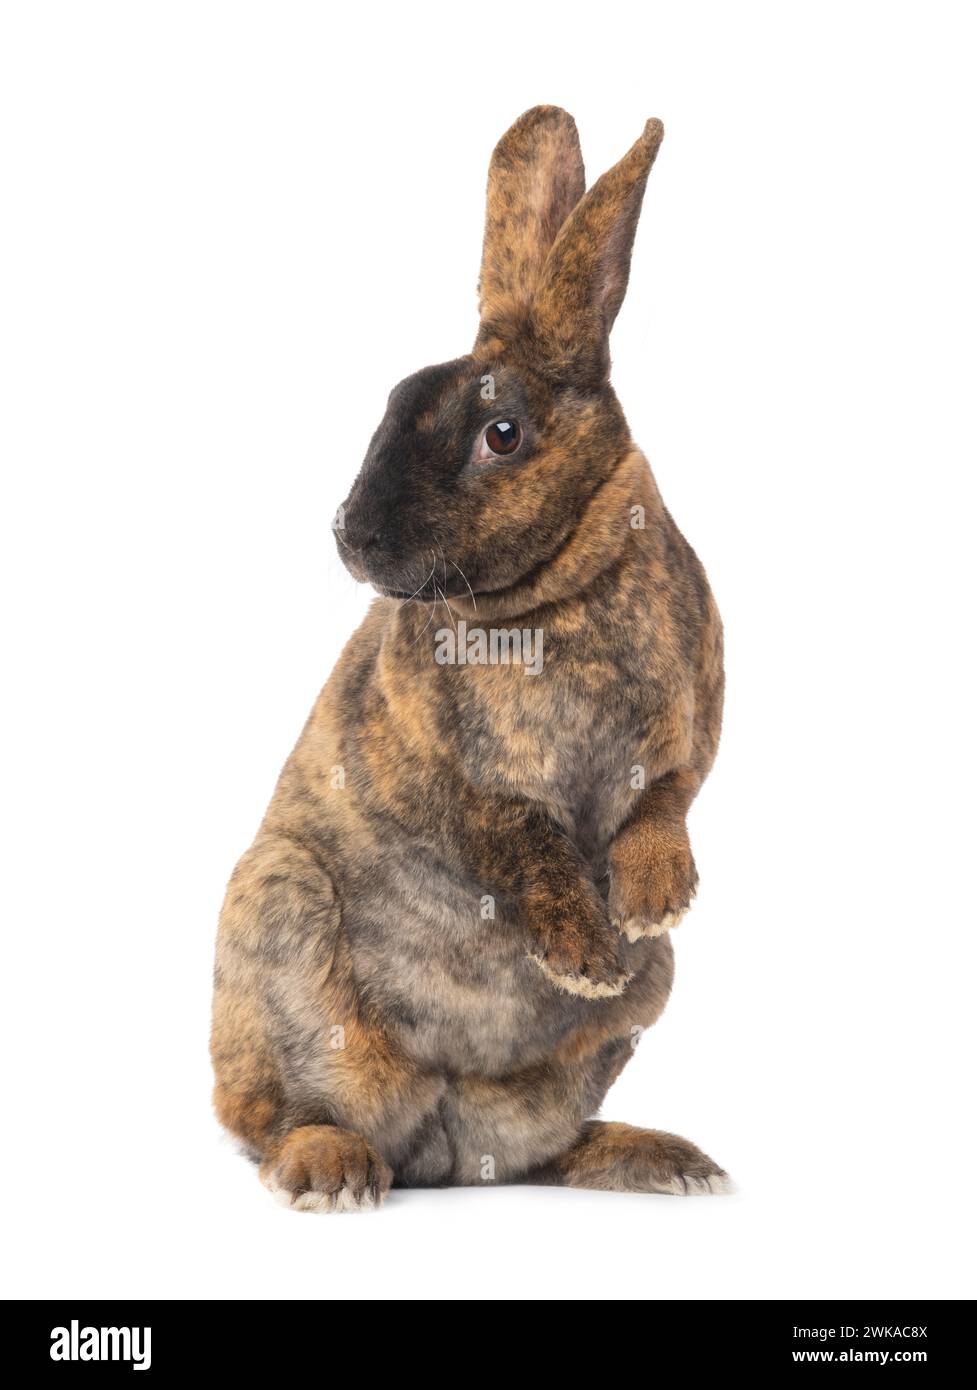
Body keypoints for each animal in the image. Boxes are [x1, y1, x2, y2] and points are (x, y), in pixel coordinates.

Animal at [211, 106, 728, 1210]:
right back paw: (329, 1171)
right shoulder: (461, 781)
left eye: (502, 432)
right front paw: (584, 954)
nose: (353, 538)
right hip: (278, 913)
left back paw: (662, 1159)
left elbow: (663, 799)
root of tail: (445, 1154)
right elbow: (524, 847)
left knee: (540, 1149)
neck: (548, 594)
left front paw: (652, 901)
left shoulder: (688, 731)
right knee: (276, 1118)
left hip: (606, 1041)